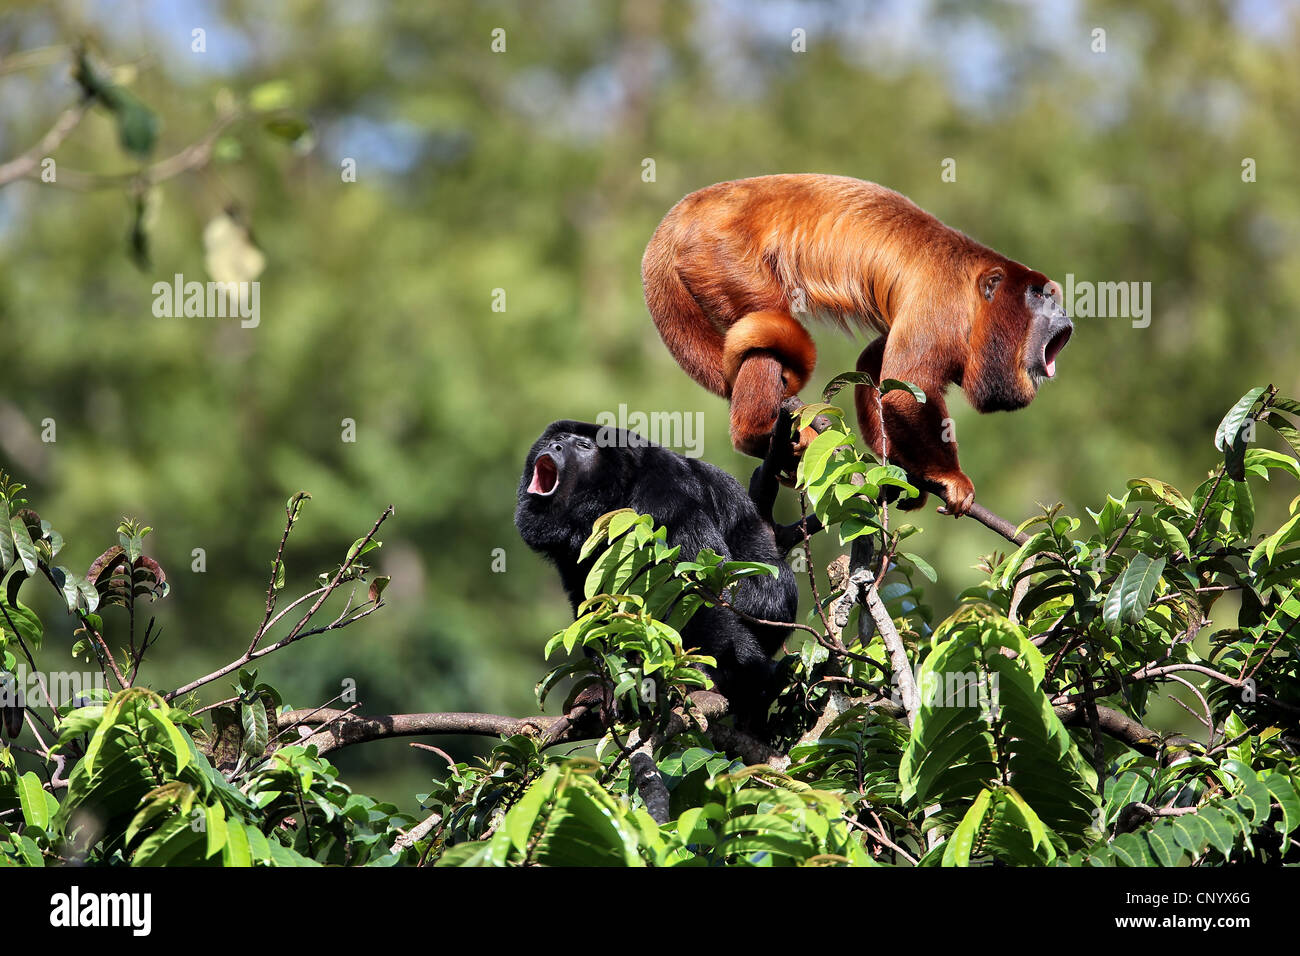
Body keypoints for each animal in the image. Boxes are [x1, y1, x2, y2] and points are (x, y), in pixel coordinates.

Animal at [514, 419, 799, 726]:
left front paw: (699, 676)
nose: (554, 446)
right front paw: (606, 684)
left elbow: (702, 583)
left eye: (583, 446)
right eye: (557, 439)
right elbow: (591, 602)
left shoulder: (665, 498)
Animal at [641, 173, 1073, 515]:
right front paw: (949, 476)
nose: (1064, 313)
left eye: (1049, 294)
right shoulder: (944, 305)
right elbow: (904, 389)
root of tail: (689, 207)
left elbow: (873, 367)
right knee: (769, 326)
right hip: (721, 257)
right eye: (1038, 295)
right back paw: (756, 432)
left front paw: (903, 472)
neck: (976, 296)